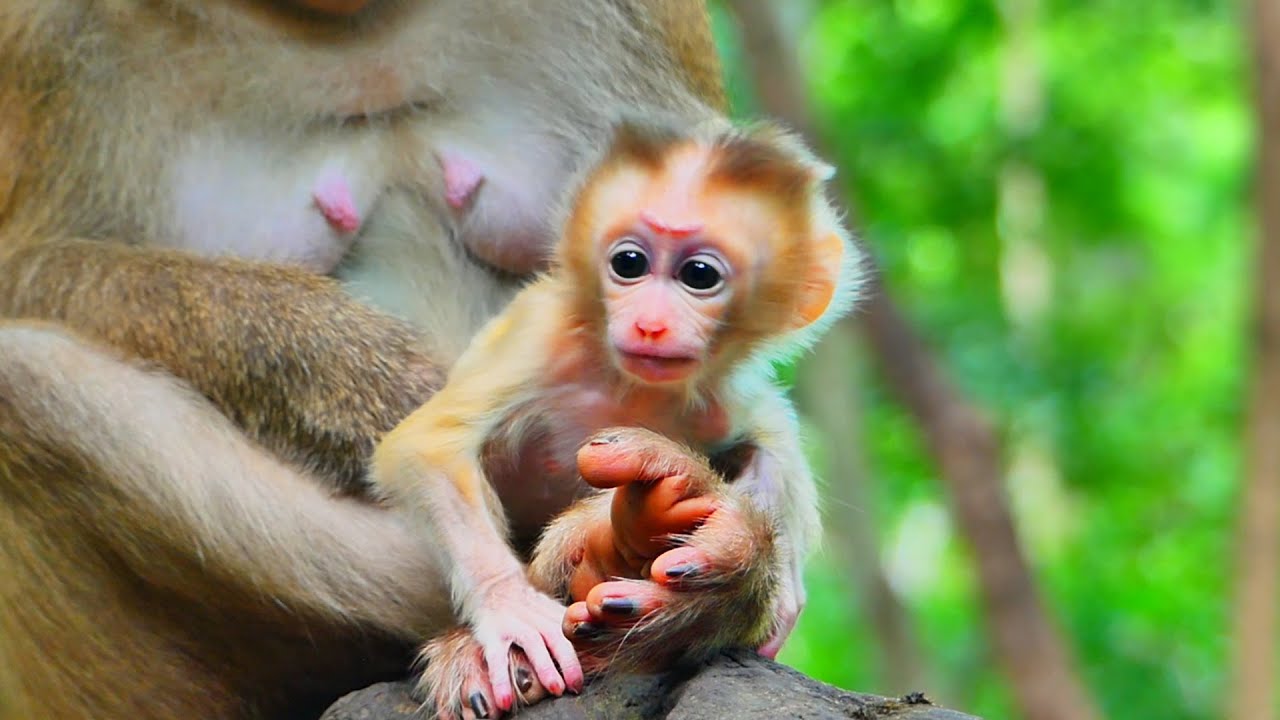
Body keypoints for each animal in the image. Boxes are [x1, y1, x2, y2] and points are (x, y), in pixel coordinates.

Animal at [376, 117, 860, 719]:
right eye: (628, 263)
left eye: (699, 275)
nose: (650, 324)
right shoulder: (542, 334)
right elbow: (427, 445)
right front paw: (513, 610)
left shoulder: (721, 395)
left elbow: (772, 436)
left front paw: (748, 570)